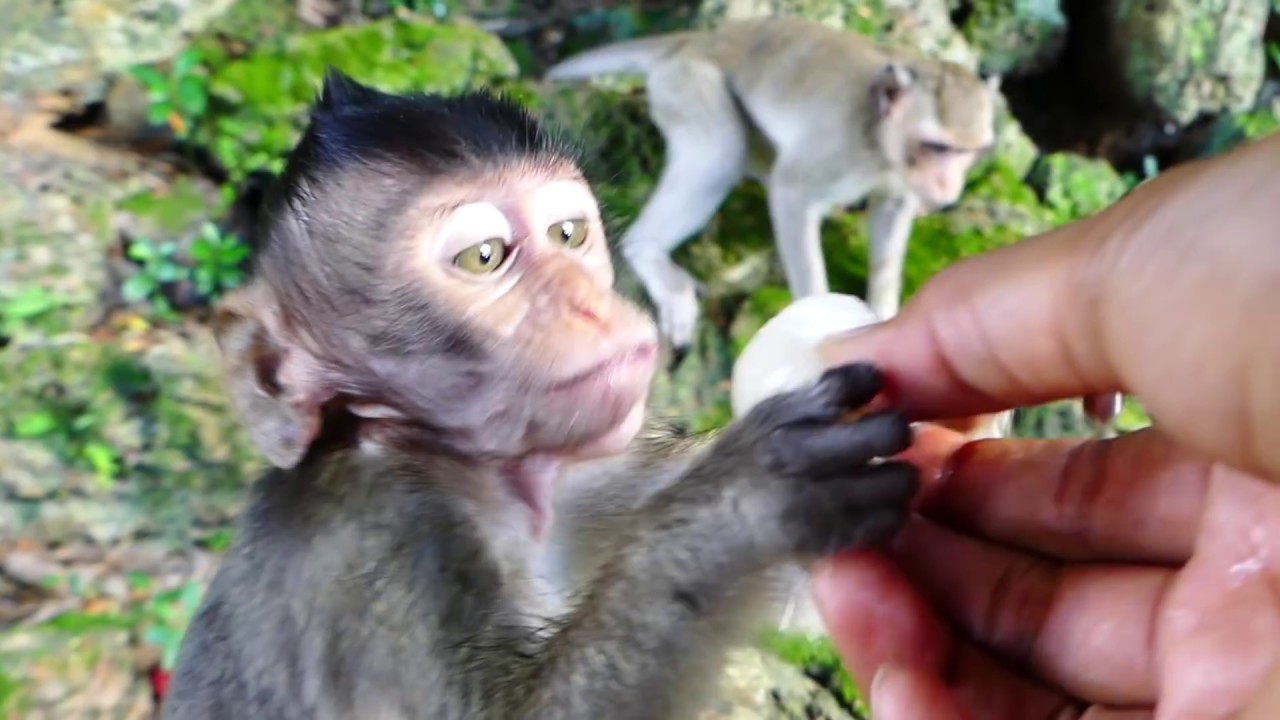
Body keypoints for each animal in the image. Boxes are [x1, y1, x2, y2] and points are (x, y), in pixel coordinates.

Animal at [160, 69, 921, 720]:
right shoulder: (369, 538)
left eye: (568, 234)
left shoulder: (600, 469)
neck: (483, 477)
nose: (590, 304)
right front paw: (741, 506)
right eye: (485, 257)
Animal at [543, 16, 1001, 350]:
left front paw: (887, 316)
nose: (948, 189)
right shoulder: (839, 147)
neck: (879, 135)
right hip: (685, 84)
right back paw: (647, 250)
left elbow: (892, 212)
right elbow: (791, 192)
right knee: (719, 151)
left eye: (969, 152)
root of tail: (697, 41)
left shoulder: (896, 179)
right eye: (937, 147)